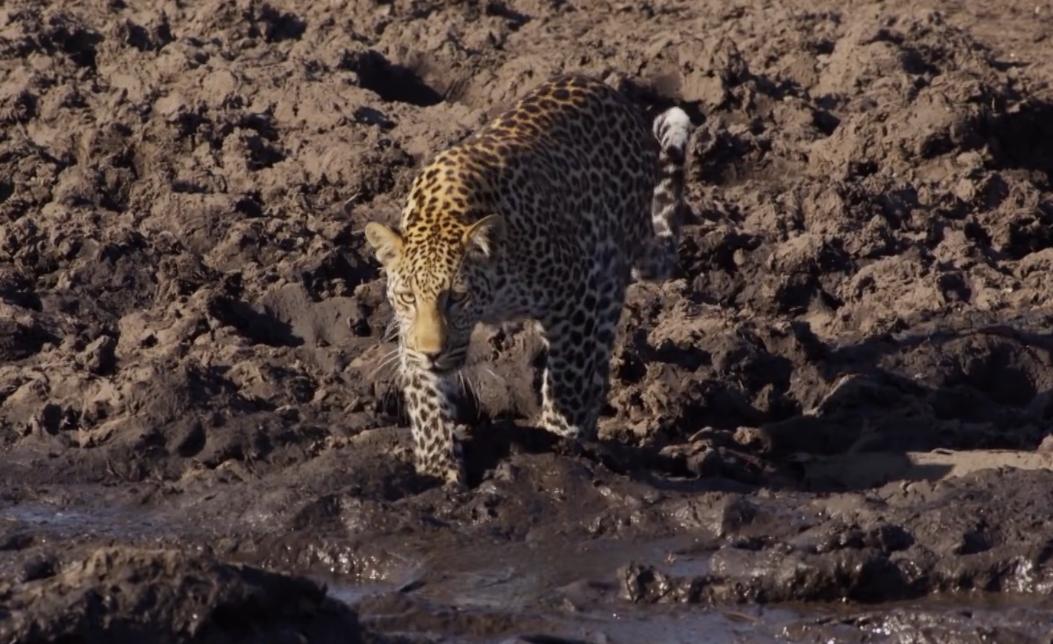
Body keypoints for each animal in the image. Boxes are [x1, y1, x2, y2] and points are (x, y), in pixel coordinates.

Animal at [363, 74, 693, 485]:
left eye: (456, 297)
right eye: (408, 297)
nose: (433, 354)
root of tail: (615, 96)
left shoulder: (577, 296)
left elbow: (569, 382)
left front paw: (559, 440)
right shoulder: (410, 335)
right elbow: (427, 402)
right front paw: (438, 467)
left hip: (608, 281)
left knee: (594, 366)